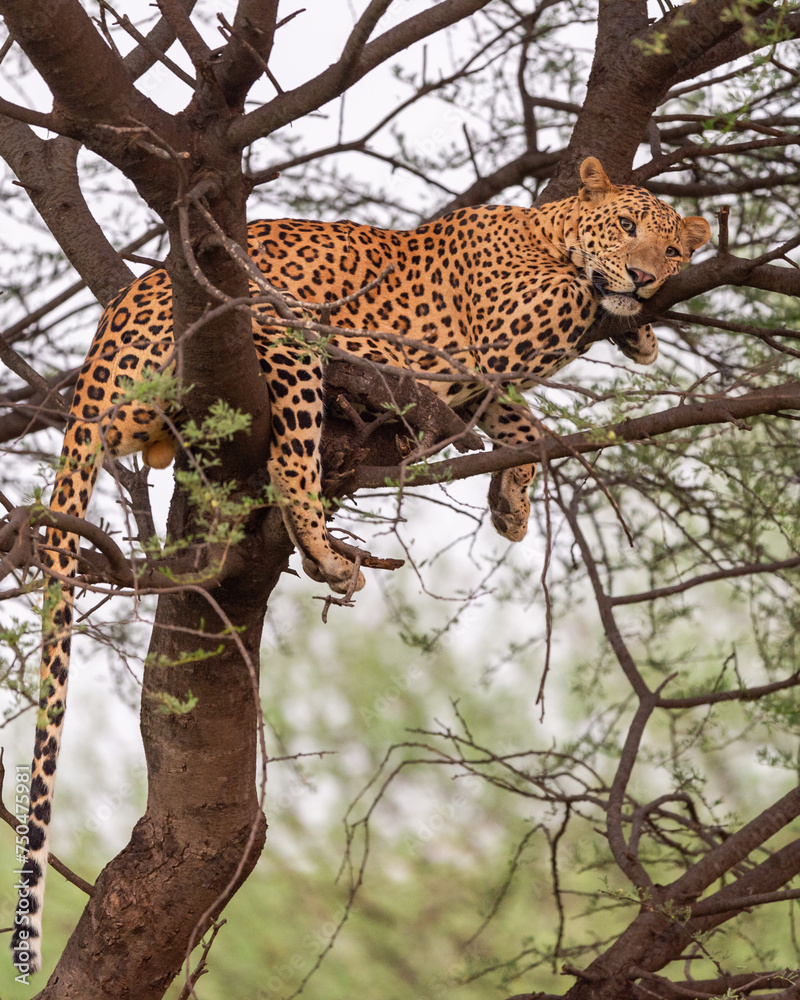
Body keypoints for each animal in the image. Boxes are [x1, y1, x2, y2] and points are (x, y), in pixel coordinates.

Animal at [11, 157, 709, 973]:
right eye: (627, 227)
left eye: (674, 250)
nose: (645, 277)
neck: (544, 231)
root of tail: (101, 344)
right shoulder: (502, 331)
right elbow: (545, 352)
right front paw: (628, 319)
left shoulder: (482, 379)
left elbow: (521, 424)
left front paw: (512, 501)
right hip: (288, 345)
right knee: (288, 463)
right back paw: (326, 556)